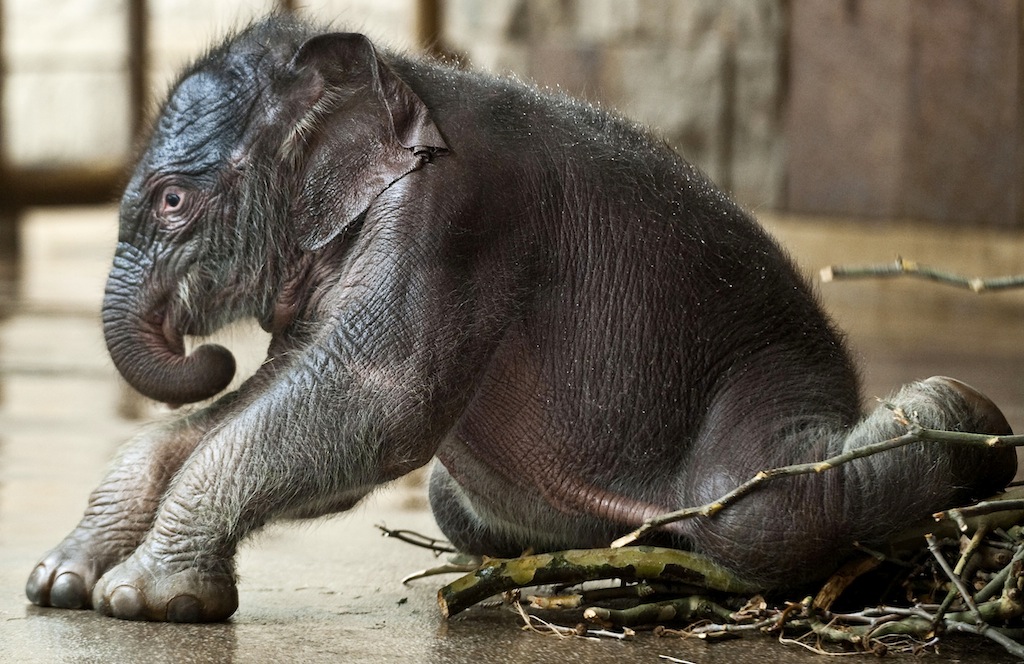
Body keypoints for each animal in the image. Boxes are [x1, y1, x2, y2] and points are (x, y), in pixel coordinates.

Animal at [26, 15, 1016, 622]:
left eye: (171, 201)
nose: (206, 352)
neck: (401, 71)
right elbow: (275, 401)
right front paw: (63, 578)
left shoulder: (458, 216)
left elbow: (375, 402)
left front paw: (143, 599)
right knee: (457, 502)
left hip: (766, 380)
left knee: (770, 509)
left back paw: (960, 413)